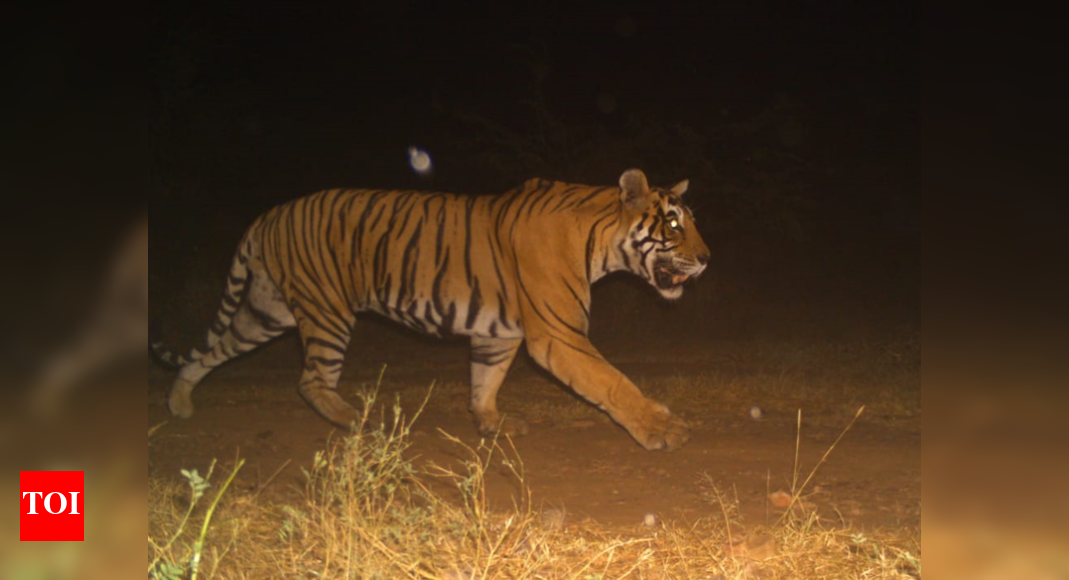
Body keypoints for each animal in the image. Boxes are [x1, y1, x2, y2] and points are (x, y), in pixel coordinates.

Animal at [152, 168, 710, 451]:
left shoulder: (499, 334)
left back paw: (179, 401)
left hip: (269, 311)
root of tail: (269, 214)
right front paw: (662, 430)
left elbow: (484, 381)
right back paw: (359, 422)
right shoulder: (559, 334)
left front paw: (490, 424)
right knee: (310, 381)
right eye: (674, 224)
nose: (707, 258)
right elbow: (614, 382)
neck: (599, 241)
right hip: (327, 311)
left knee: (208, 352)